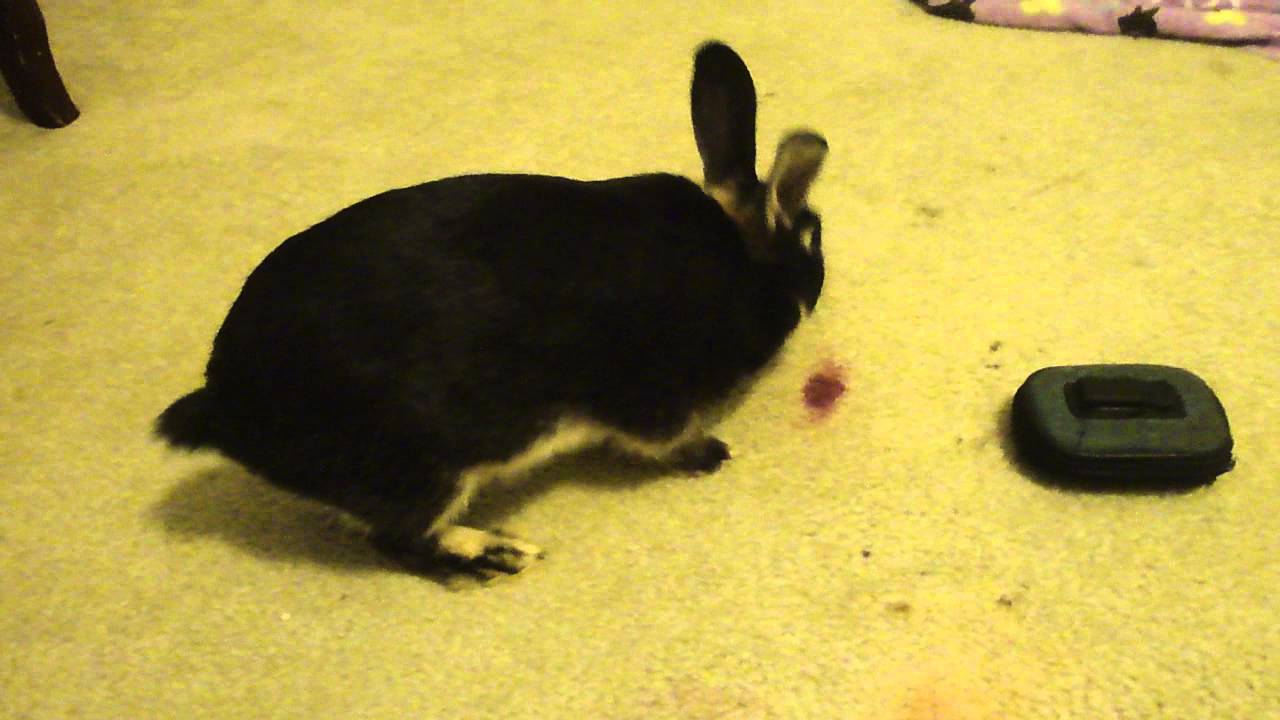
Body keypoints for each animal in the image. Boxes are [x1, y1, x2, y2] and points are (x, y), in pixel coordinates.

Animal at [155, 41, 828, 579]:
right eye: (813, 243)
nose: (819, 291)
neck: (732, 259)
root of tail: (224, 410)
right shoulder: (646, 395)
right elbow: (665, 437)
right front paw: (711, 454)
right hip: (430, 471)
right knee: (401, 541)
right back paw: (498, 554)